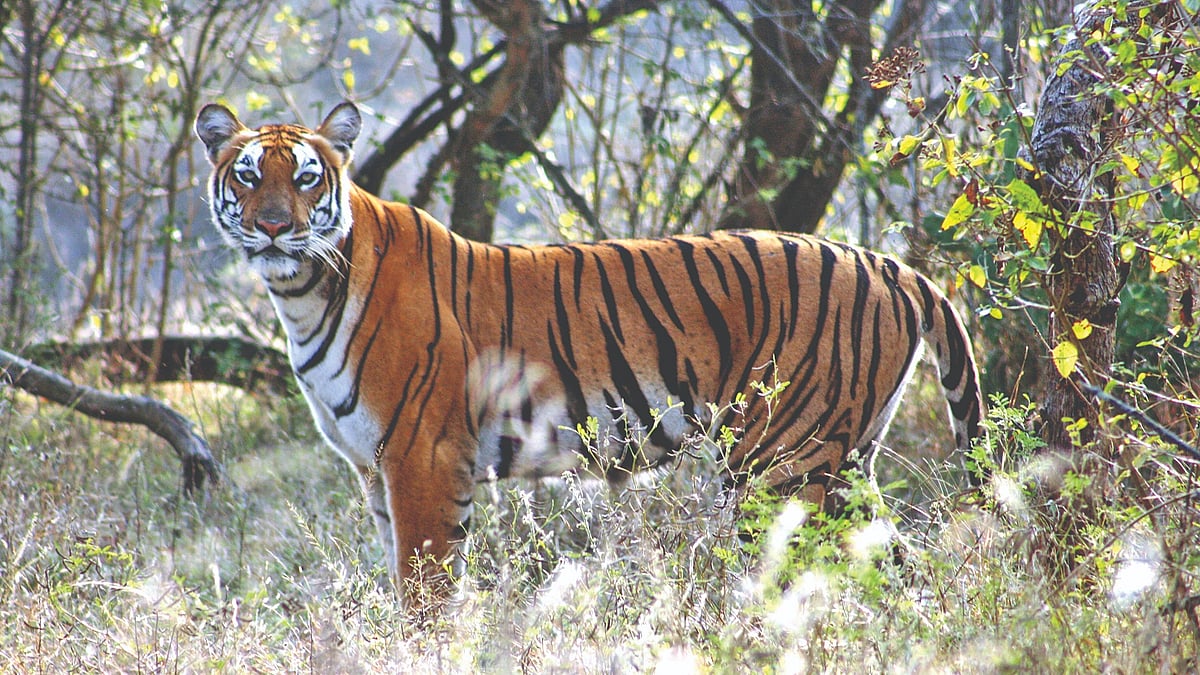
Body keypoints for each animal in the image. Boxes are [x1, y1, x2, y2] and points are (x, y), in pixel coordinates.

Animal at [195, 100, 984, 602]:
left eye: (305, 177)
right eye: (247, 174)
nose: (273, 227)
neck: (303, 292)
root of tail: (892, 265)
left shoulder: (422, 458)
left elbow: (425, 595)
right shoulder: (374, 471)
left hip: (781, 464)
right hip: (841, 461)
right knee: (900, 569)